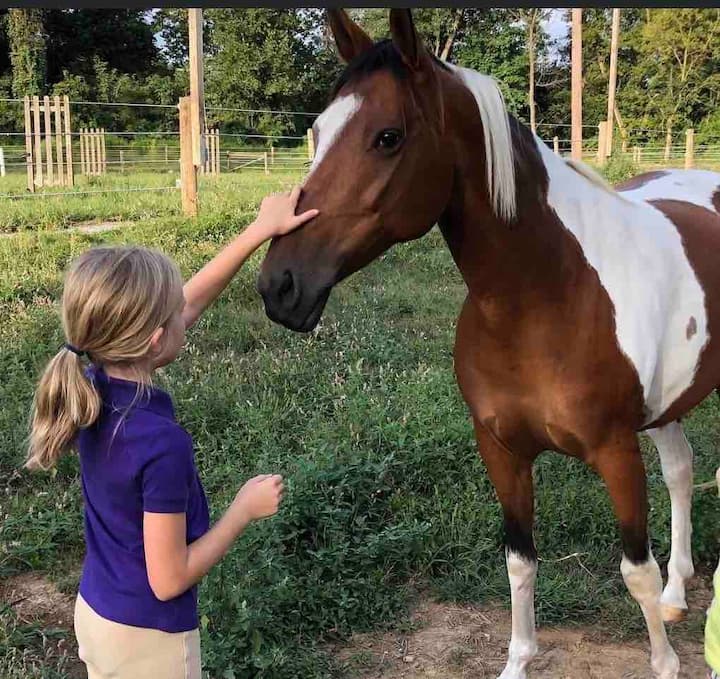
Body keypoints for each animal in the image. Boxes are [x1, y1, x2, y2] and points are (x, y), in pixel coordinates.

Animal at [257, 9, 720, 679]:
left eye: (388, 137)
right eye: (317, 131)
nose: (280, 285)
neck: (548, 296)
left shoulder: (615, 452)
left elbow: (635, 570)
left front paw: (664, 663)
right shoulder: (501, 450)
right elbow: (520, 561)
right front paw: (519, 660)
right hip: (666, 407)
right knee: (682, 473)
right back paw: (679, 595)